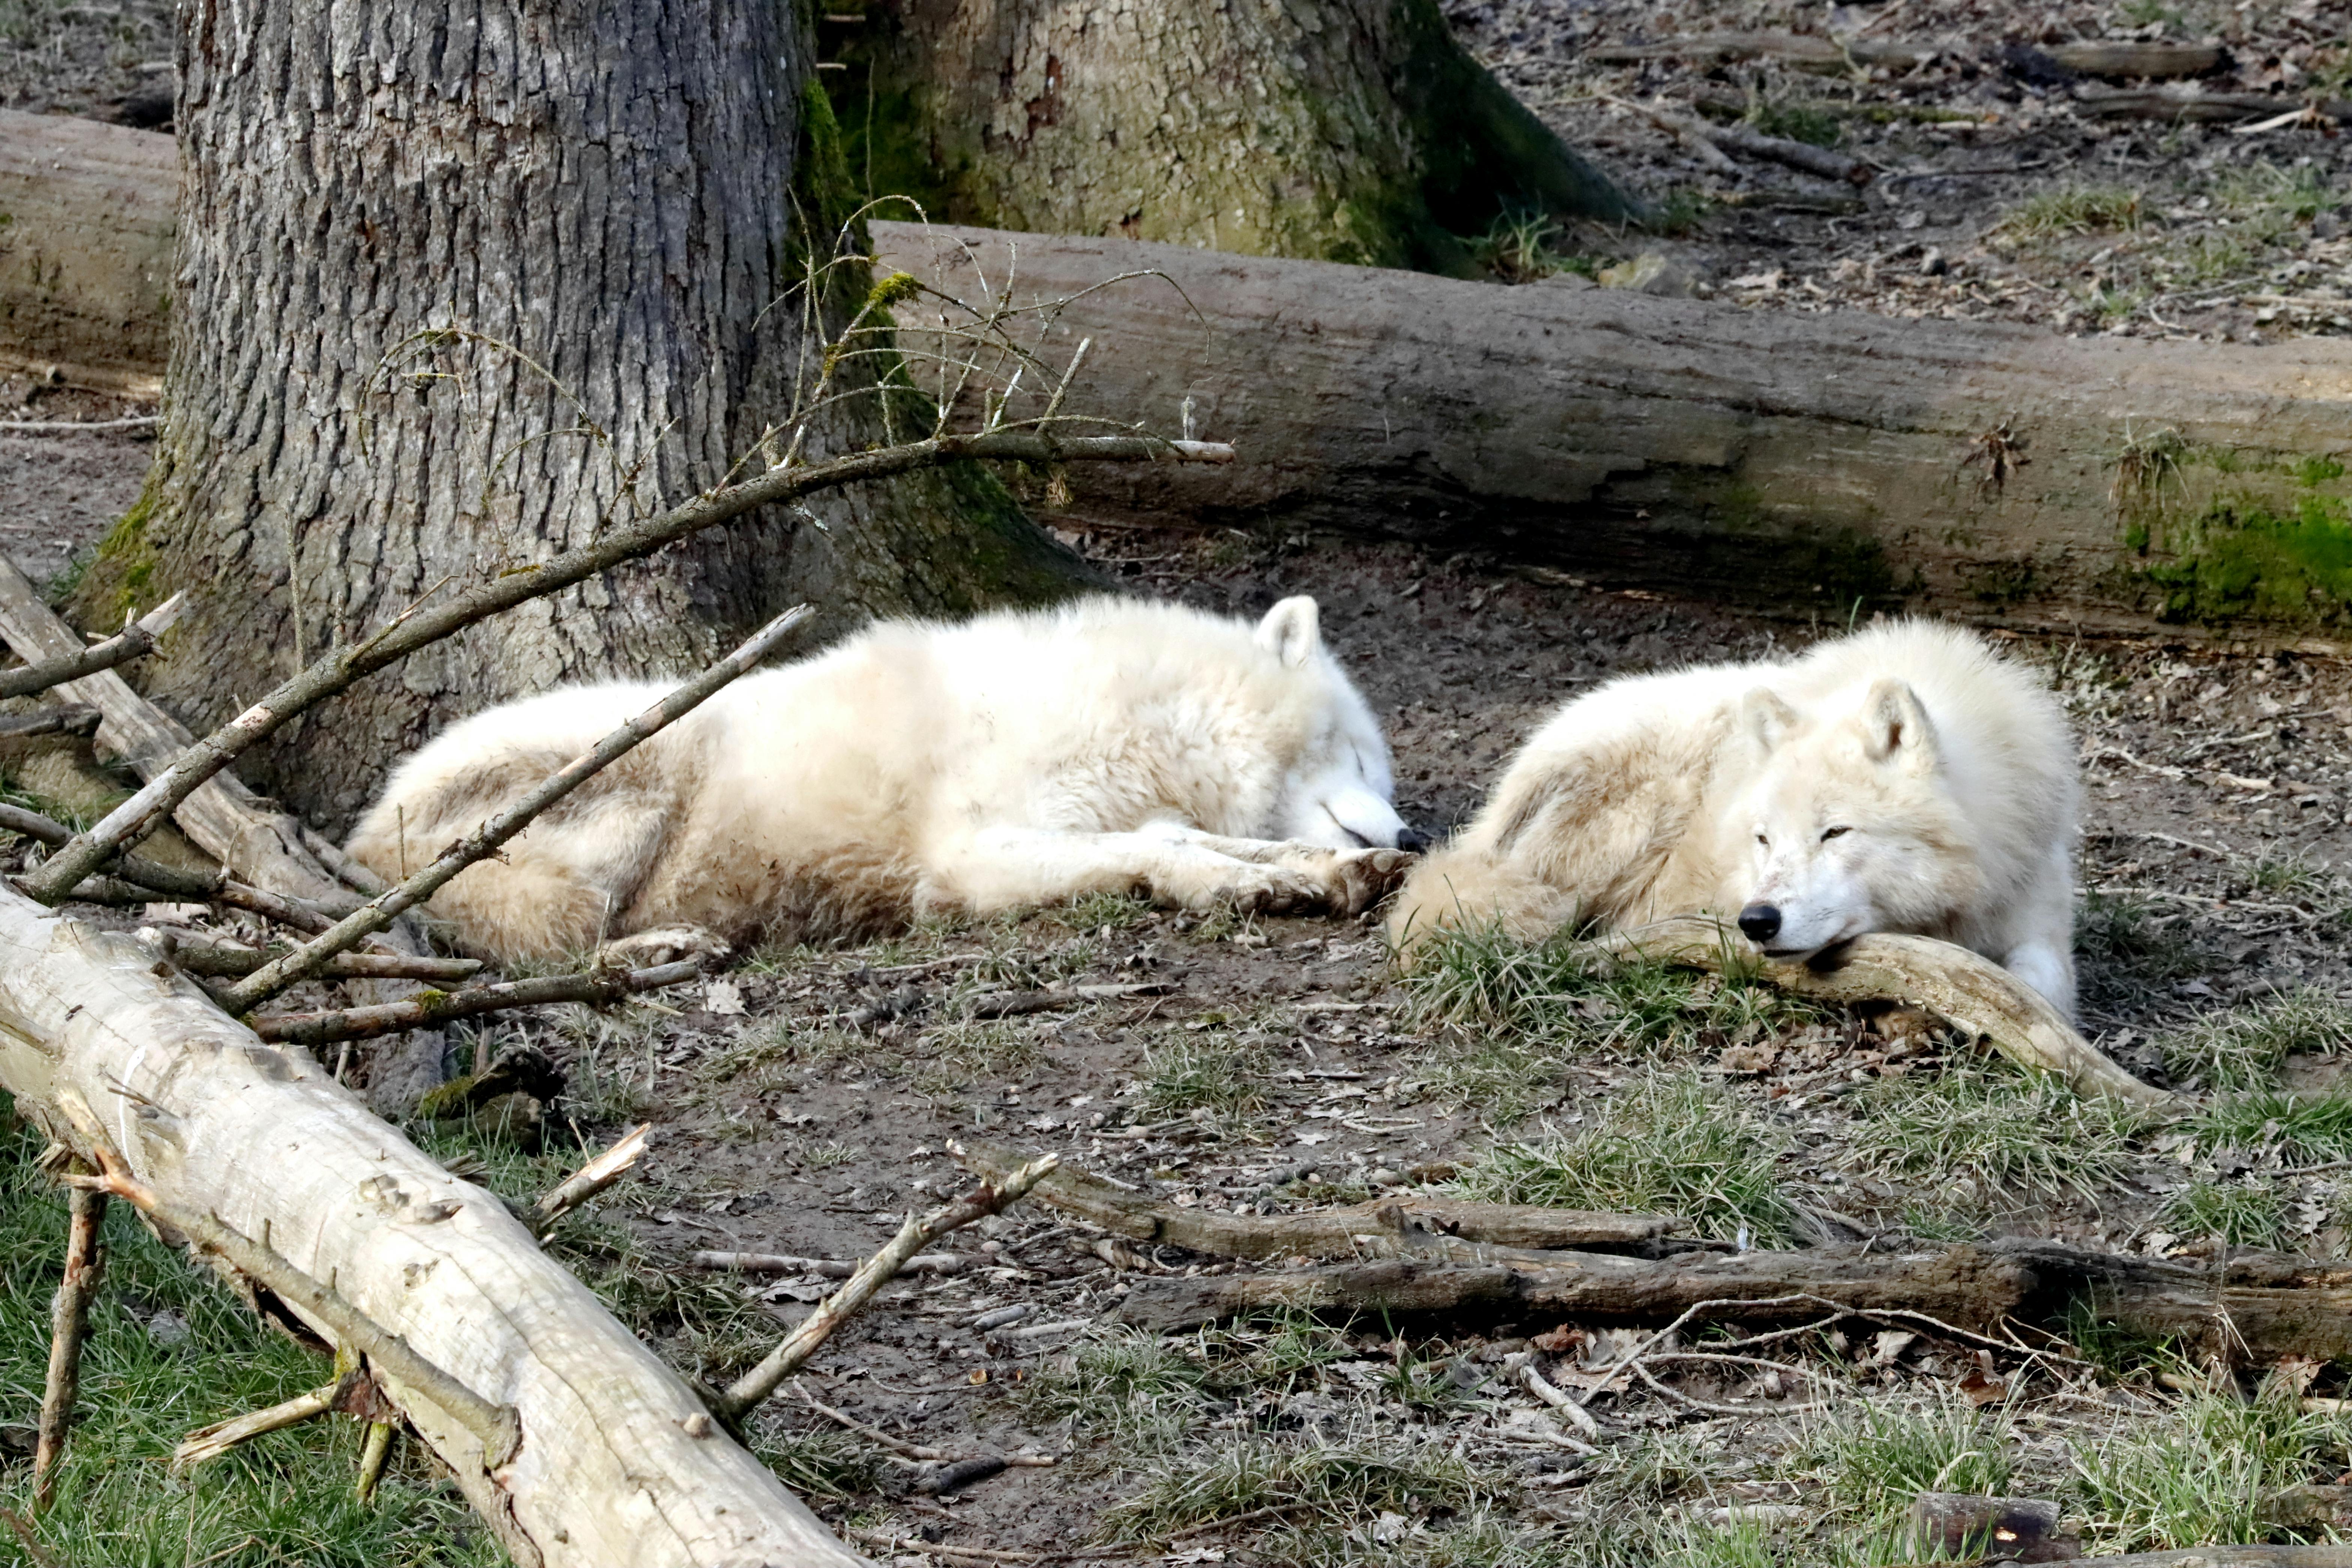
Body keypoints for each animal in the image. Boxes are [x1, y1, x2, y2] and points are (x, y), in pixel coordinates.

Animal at [348, 596, 1423, 964]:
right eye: (1360, 752)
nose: (1411, 836)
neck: (1148, 721)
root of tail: (366, 829)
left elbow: (1203, 838)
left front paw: (1316, 877)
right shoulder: (974, 853)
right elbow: (1166, 849)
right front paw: (1247, 884)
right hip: (635, 782)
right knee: (548, 947)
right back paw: (658, 948)